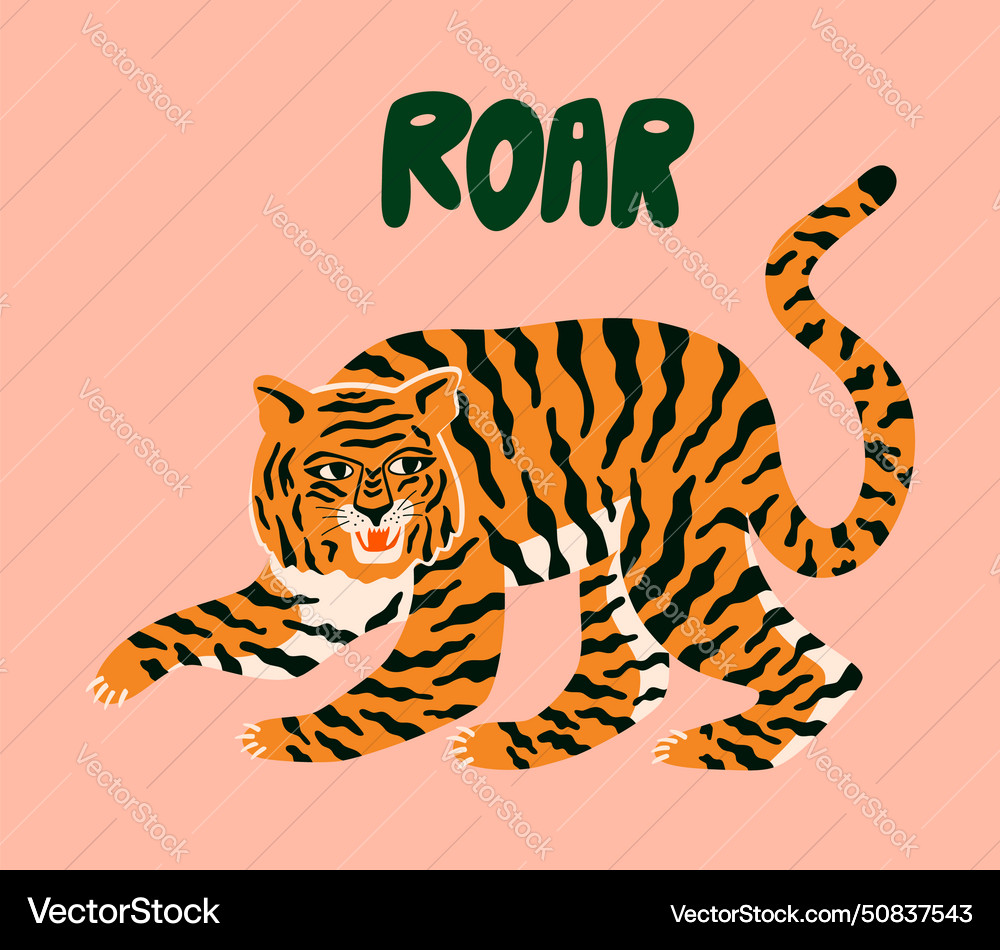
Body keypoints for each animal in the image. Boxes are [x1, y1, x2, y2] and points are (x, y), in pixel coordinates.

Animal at [89, 165, 914, 771]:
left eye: (407, 463)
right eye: (332, 472)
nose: (379, 512)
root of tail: (740, 374)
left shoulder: (447, 624)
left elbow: (386, 700)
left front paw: (270, 737)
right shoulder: (312, 598)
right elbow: (204, 622)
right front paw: (117, 672)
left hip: (677, 554)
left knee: (807, 667)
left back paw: (703, 754)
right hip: (622, 564)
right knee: (635, 678)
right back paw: (513, 745)